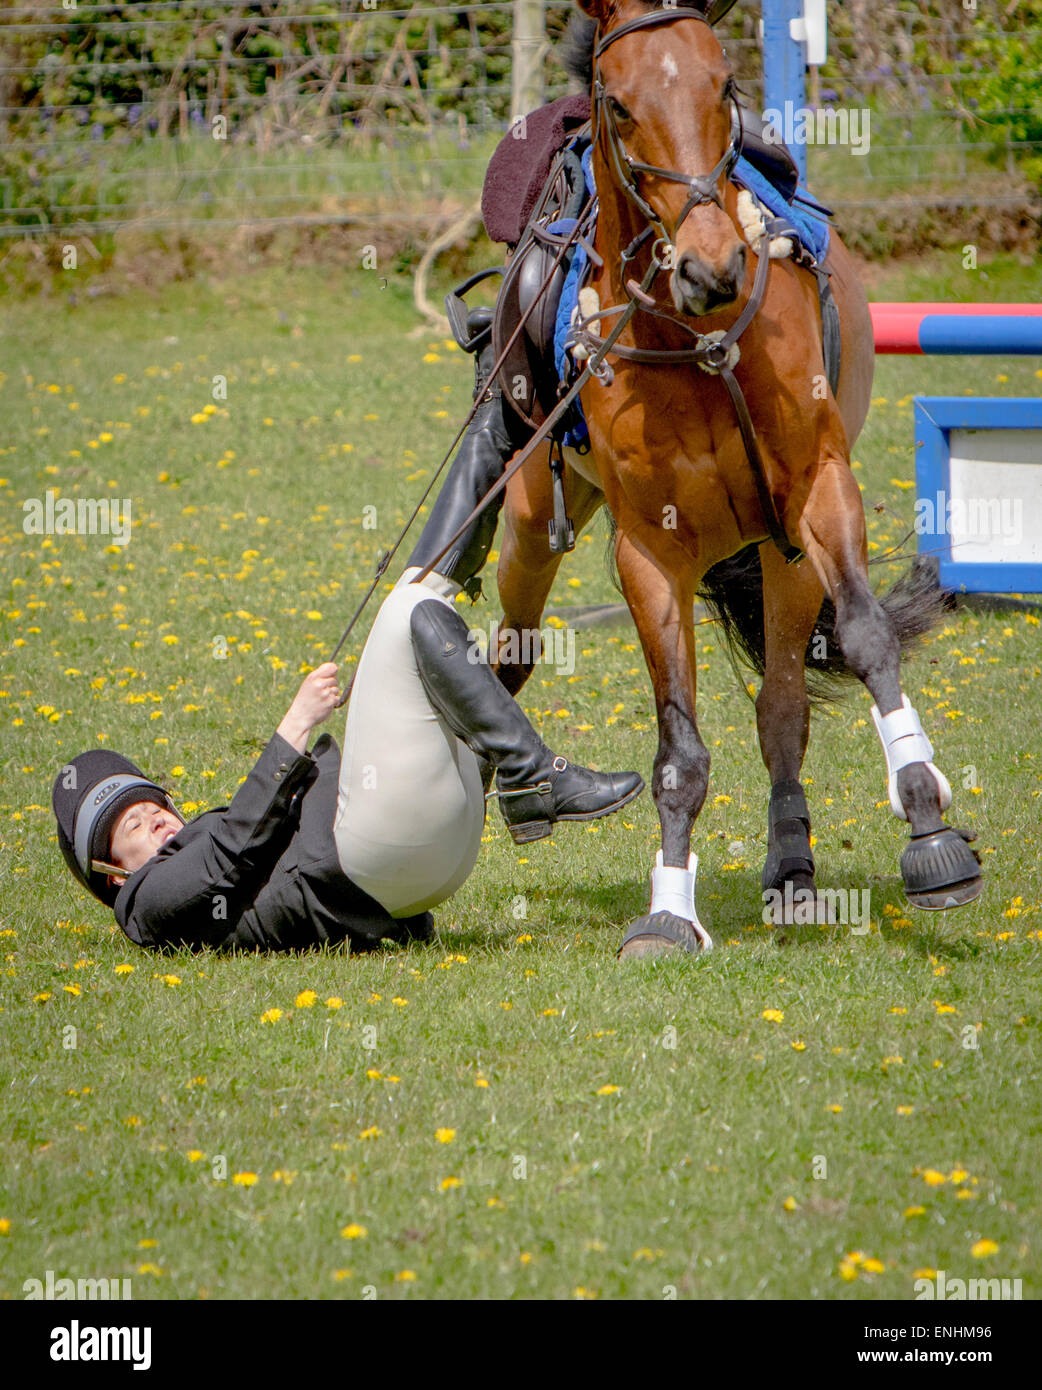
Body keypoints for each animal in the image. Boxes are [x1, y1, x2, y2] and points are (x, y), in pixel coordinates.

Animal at [491, 0, 982, 957]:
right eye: (620, 104)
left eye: (724, 85)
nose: (712, 267)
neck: (694, 341)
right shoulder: (650, 553)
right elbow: (677, 748)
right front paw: (667, 911)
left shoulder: (818, 493)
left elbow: (866, 641)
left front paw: (929, 827)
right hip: (534, 516)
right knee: (513, 645)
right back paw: (523, 791)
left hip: (786, 557)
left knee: (783, 710)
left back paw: (792, 867)